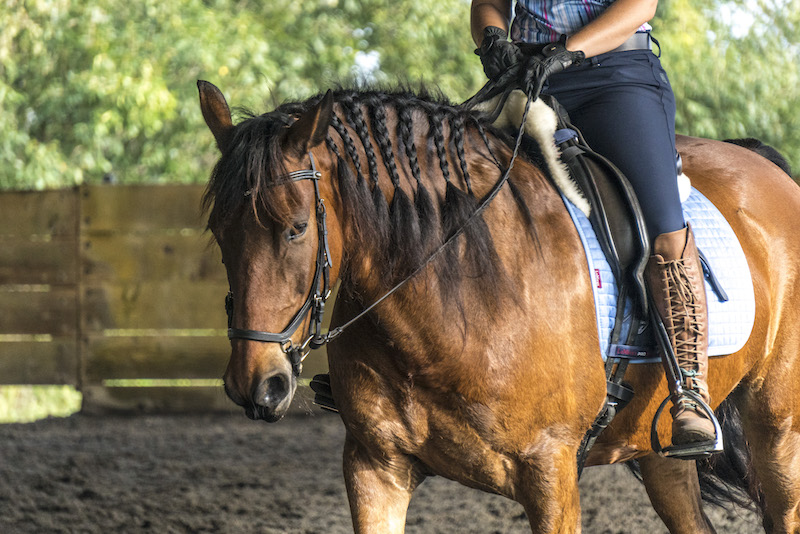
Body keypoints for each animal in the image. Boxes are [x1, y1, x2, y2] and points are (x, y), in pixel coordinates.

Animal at [197, 79, 800, 533]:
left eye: (297, 228)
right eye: (219, 232)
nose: (256, 385)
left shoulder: (551, 474)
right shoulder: (374, 468)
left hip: (777, 428)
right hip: (656, 450)